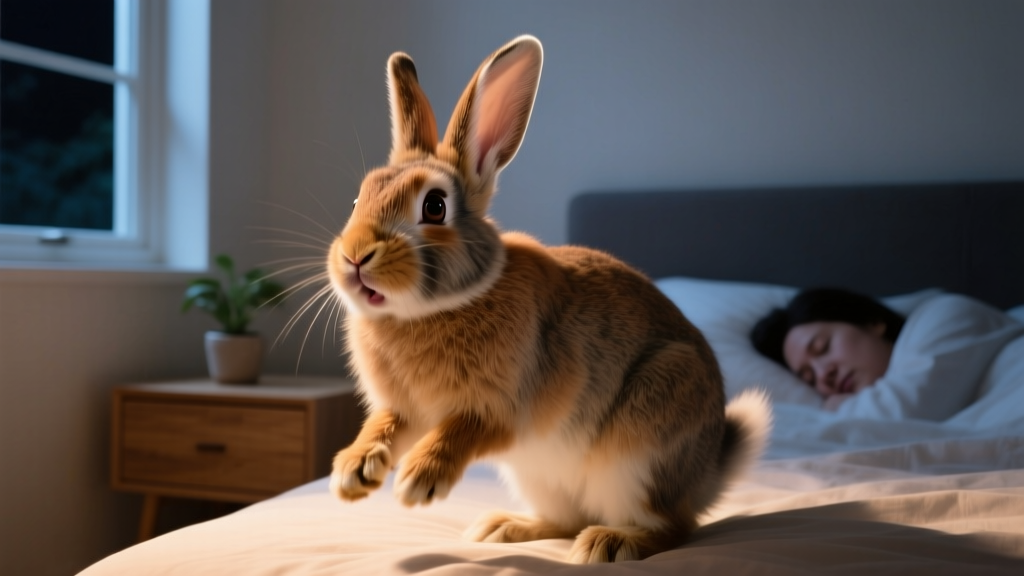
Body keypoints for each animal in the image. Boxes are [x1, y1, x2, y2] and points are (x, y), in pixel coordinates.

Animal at [326, 34, 771, 564]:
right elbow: (384, 426)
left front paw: (419, 478)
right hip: (540, 479)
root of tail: (707, 475)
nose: (354, 256)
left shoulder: (503, 408)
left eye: (434, 206)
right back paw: (503, 528)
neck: (429, 310)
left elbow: (461, 431)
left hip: (642, 451)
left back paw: (609, 543)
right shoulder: (405, 409)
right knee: (566, 519)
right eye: (358, 199)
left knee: (673, 527)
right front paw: (352, 473)